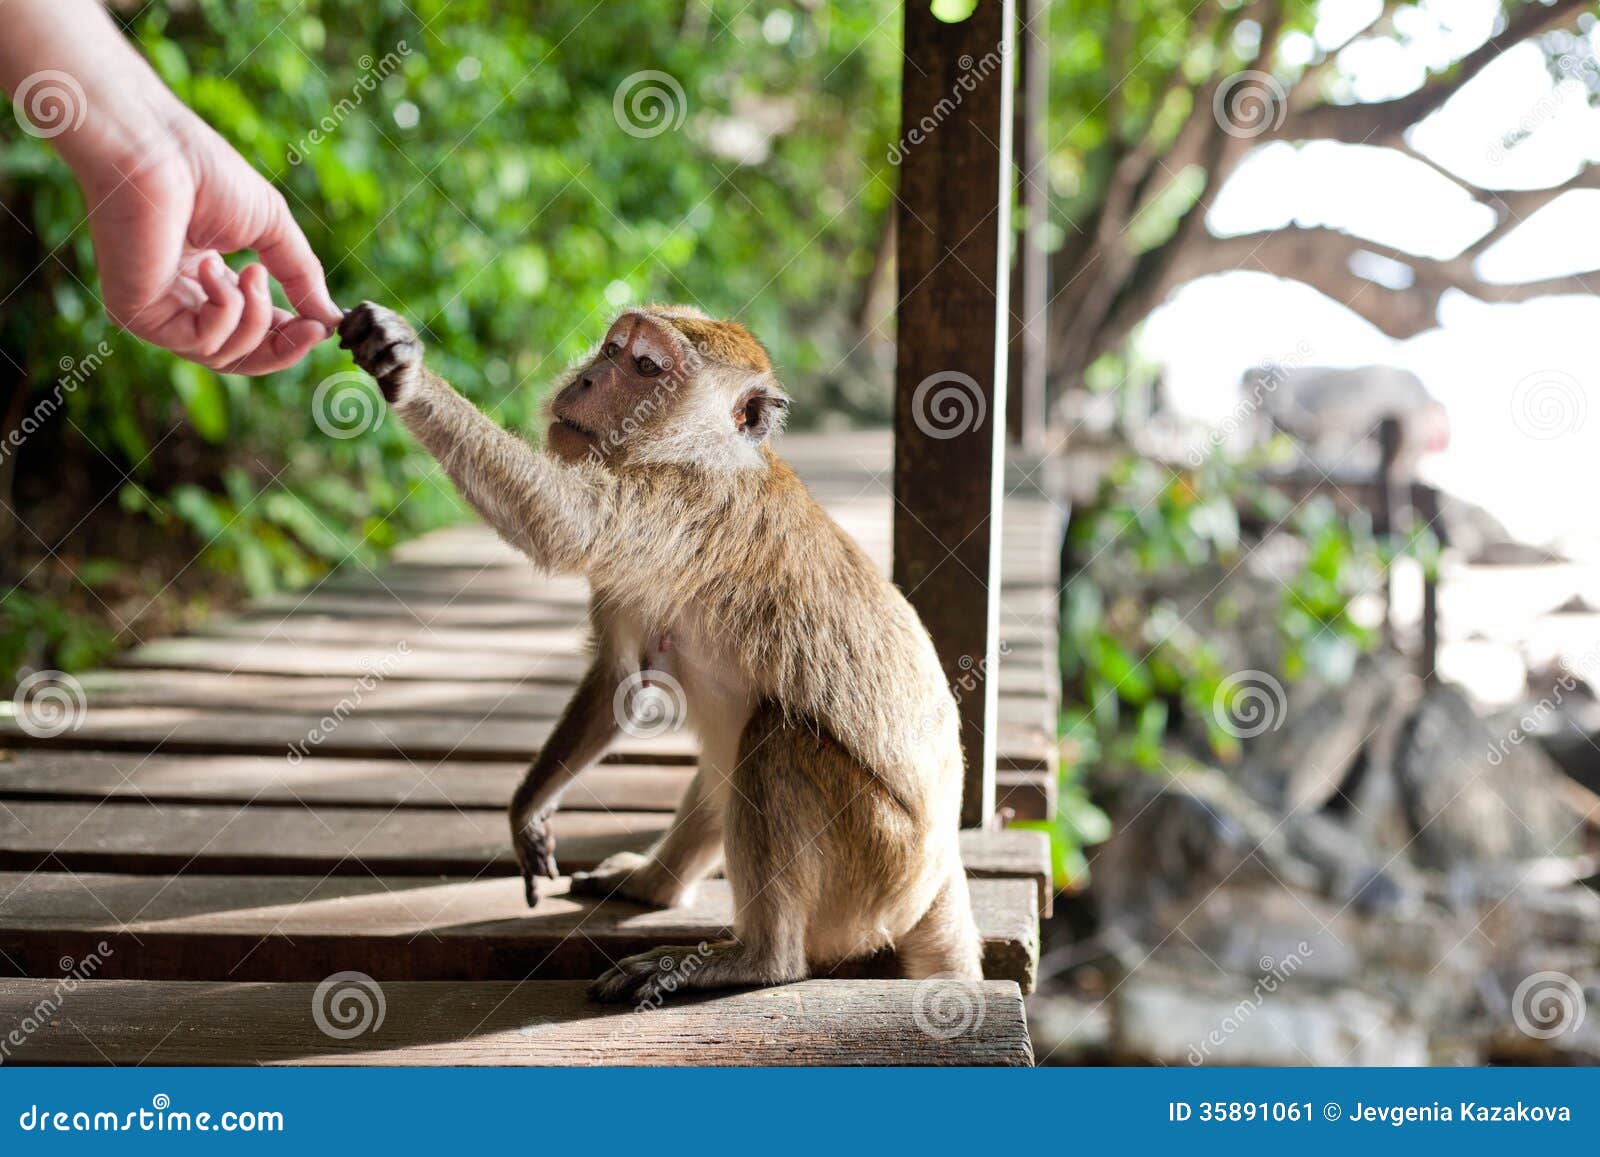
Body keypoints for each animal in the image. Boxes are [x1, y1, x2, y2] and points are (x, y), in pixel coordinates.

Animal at [338, 300, 982, 1004]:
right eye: (612, 350)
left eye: (646, 367)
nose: (587, 379)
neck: (701, 452)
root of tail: (941, 871)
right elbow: (618, 680)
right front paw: (530, 806)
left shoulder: (684, 507)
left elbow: (565, 525)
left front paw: (405, 372)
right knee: (728, 757)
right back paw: (654, 885)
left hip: (877, 862)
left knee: (774, 738)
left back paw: (758, 959)